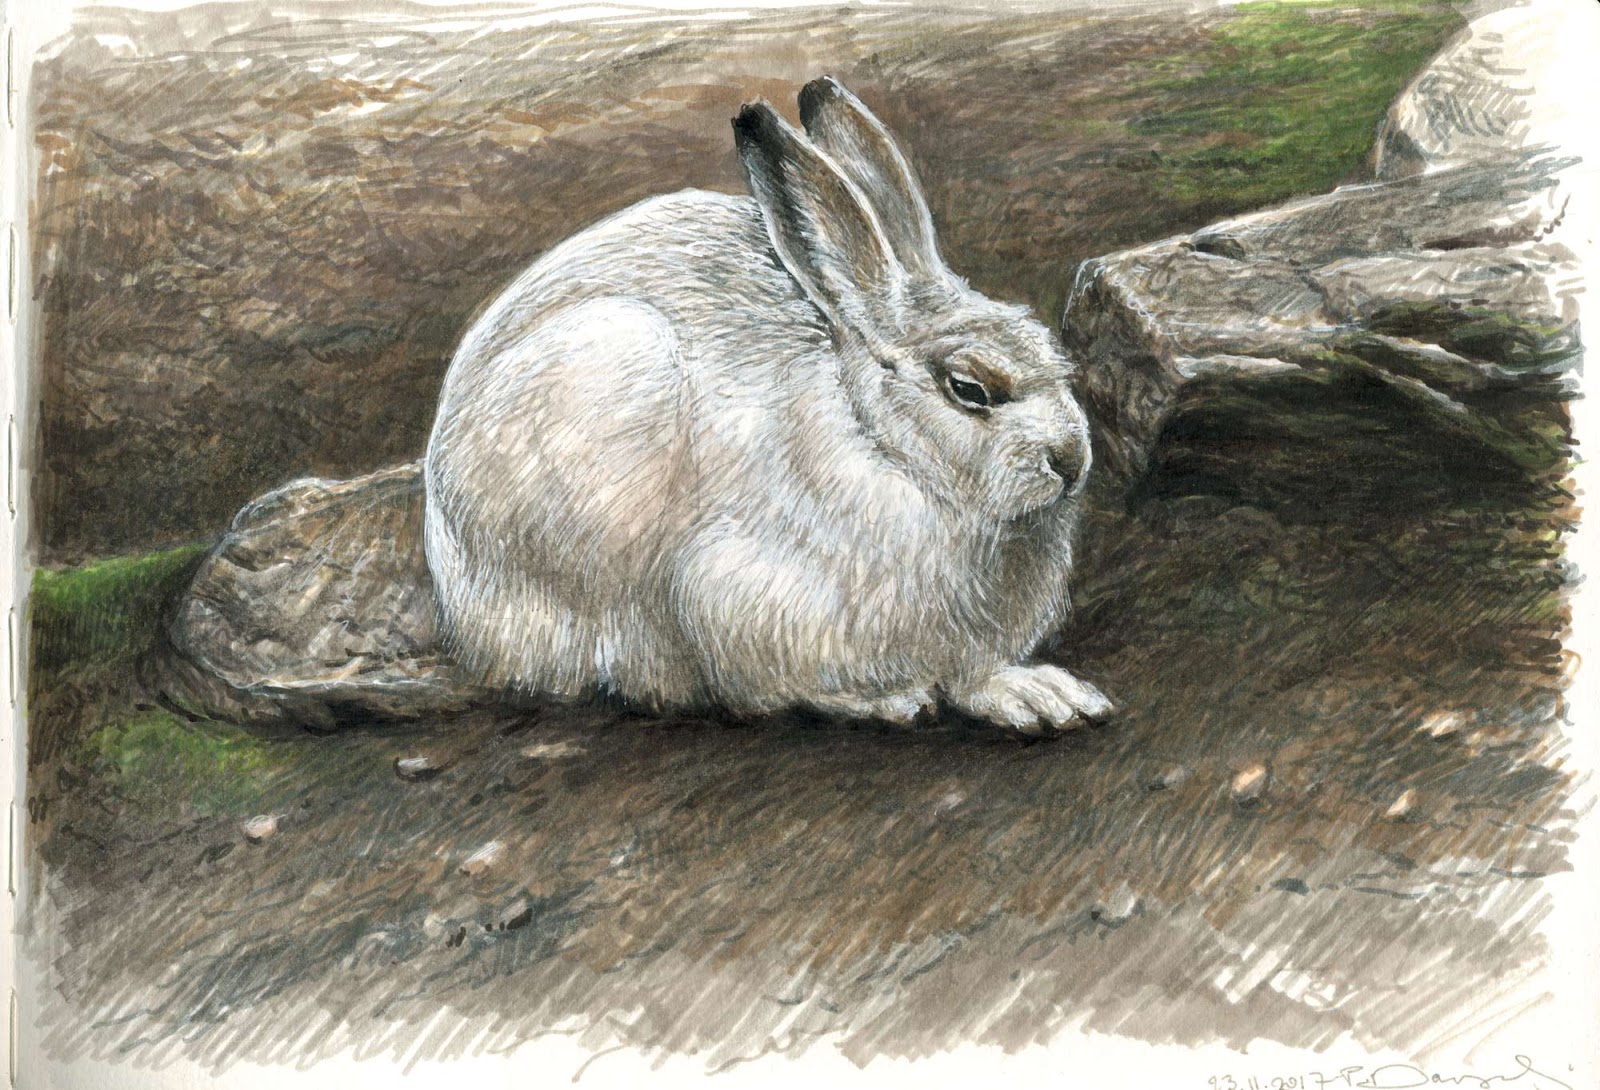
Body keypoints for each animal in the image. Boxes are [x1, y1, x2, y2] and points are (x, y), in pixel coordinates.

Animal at [423, 76, 1112, 735]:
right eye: (968, 388)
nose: (1071, 460)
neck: (884, 449)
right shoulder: (735, 595)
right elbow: (782, 684)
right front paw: (887, 700)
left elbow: (975, 675)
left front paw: (1041, 694)